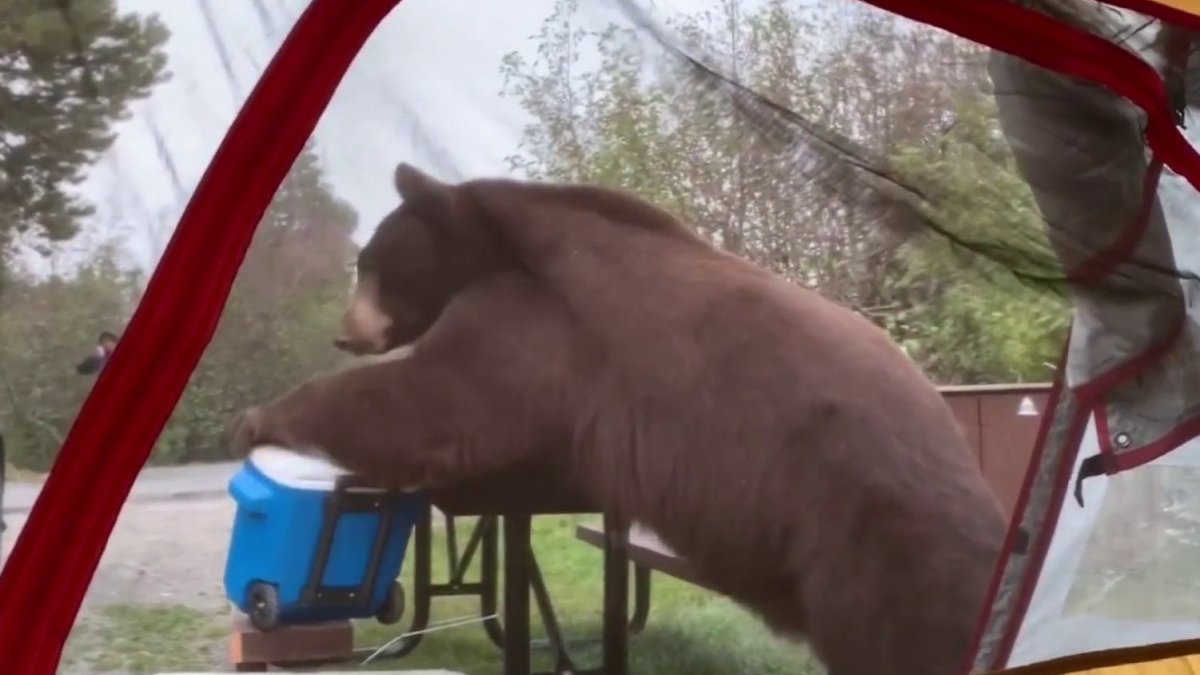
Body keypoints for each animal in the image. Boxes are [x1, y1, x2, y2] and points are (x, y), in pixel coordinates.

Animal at [227, 163, 1007, 675]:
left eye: (368, 264)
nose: (342, 332)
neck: (494, 243)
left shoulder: (538, 326)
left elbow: (432, 402)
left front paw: (256, 416)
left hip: (870, 541)